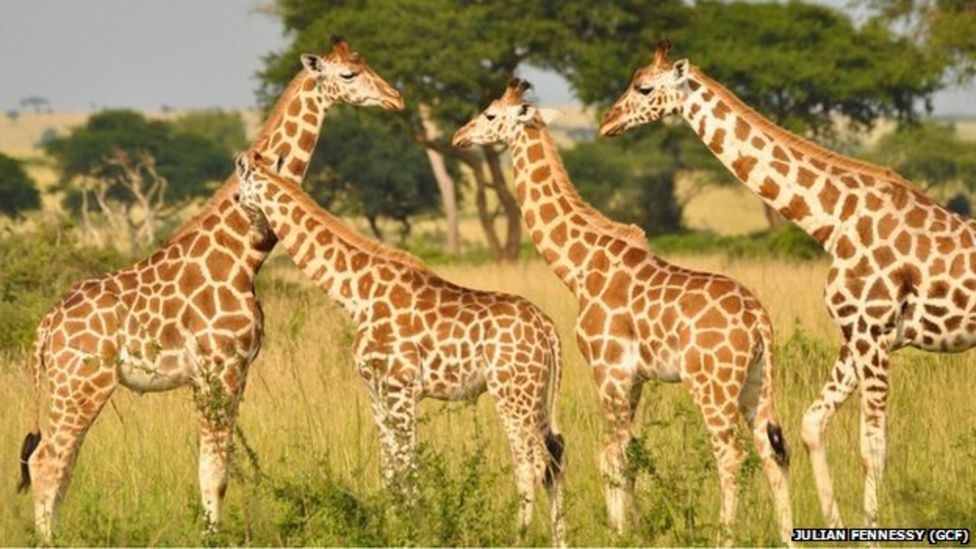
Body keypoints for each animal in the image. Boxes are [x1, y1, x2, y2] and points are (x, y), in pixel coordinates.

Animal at [16, 36, 404, 543]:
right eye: (348, 75)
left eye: (366, 63)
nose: (396, 98)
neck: (244, 254)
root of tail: (44, 328)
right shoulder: (218, 368)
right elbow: (214, 471)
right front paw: (211, 537)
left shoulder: (235, 372)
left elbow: (216, 466)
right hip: (81, 382)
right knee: (47, 459)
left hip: (74, 386)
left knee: (62, 461)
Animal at [232, 151, 567, 546]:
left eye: (238, 196)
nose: (255, 236)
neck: (354, 294)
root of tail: (548, 327)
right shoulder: (375, 390)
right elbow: (389, 468)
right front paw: (394, 526)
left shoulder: (400, 388)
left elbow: (409, 466)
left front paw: (415, 530)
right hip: (537, 393)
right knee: (555, 454)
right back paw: (561, 538)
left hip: (512, 393)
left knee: (530, 459)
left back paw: (520, 535)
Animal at [452, 79, 793, 545]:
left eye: (490, 114)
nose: (459, 137)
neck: (579, 266)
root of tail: (760, 321)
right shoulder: (634, 379)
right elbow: (628, 452)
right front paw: (633, 527)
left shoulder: (608, 370)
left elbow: (609, 454)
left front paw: (618, 531)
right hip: (756, 382)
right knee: (771, 450)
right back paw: (787, 533)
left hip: (713, 385)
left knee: (732, 454)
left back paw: (725, 535)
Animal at [599, 39, 976, 530]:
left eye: (644, 87)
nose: (606, 122)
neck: (832, 221)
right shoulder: (862, 335)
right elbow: (812, 425)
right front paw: (833, 524)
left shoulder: (872, 331)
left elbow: (872, 446)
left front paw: (872, 529)